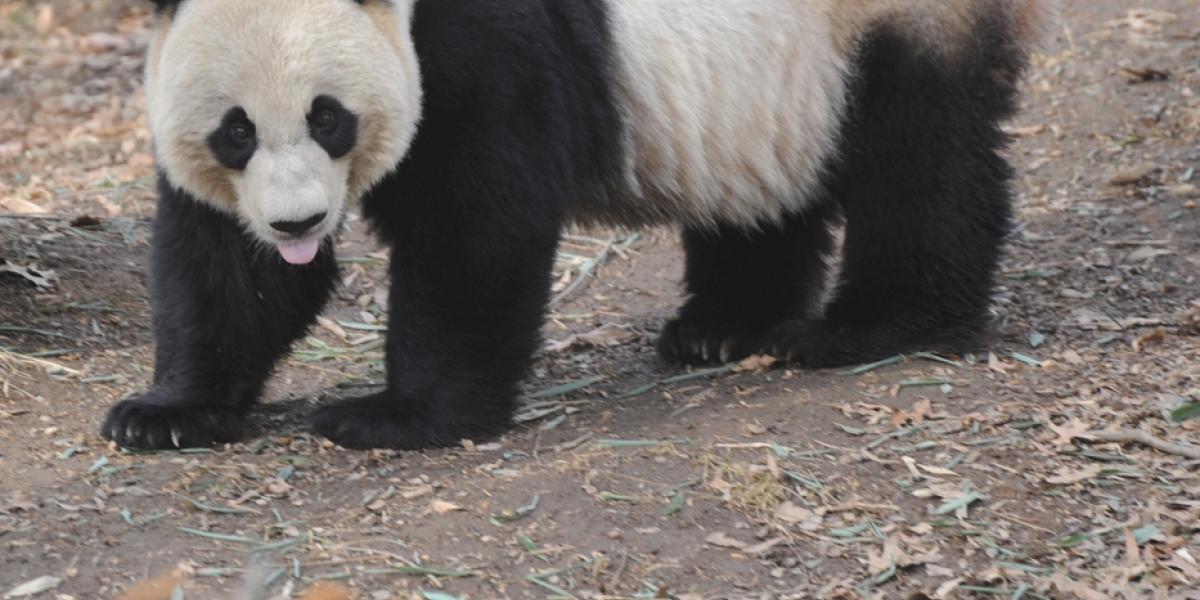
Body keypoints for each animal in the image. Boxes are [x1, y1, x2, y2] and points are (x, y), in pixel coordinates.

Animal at [102, 0, 1052, 450]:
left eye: (328, 116)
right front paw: (167, 413)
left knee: (919, 147)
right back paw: (722, 327)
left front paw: (399, 418)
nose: (298, 221)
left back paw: (877, 325)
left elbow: (475, 230)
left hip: (887, 19)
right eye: (236, 131)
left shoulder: (484, 46)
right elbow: (224, 262)